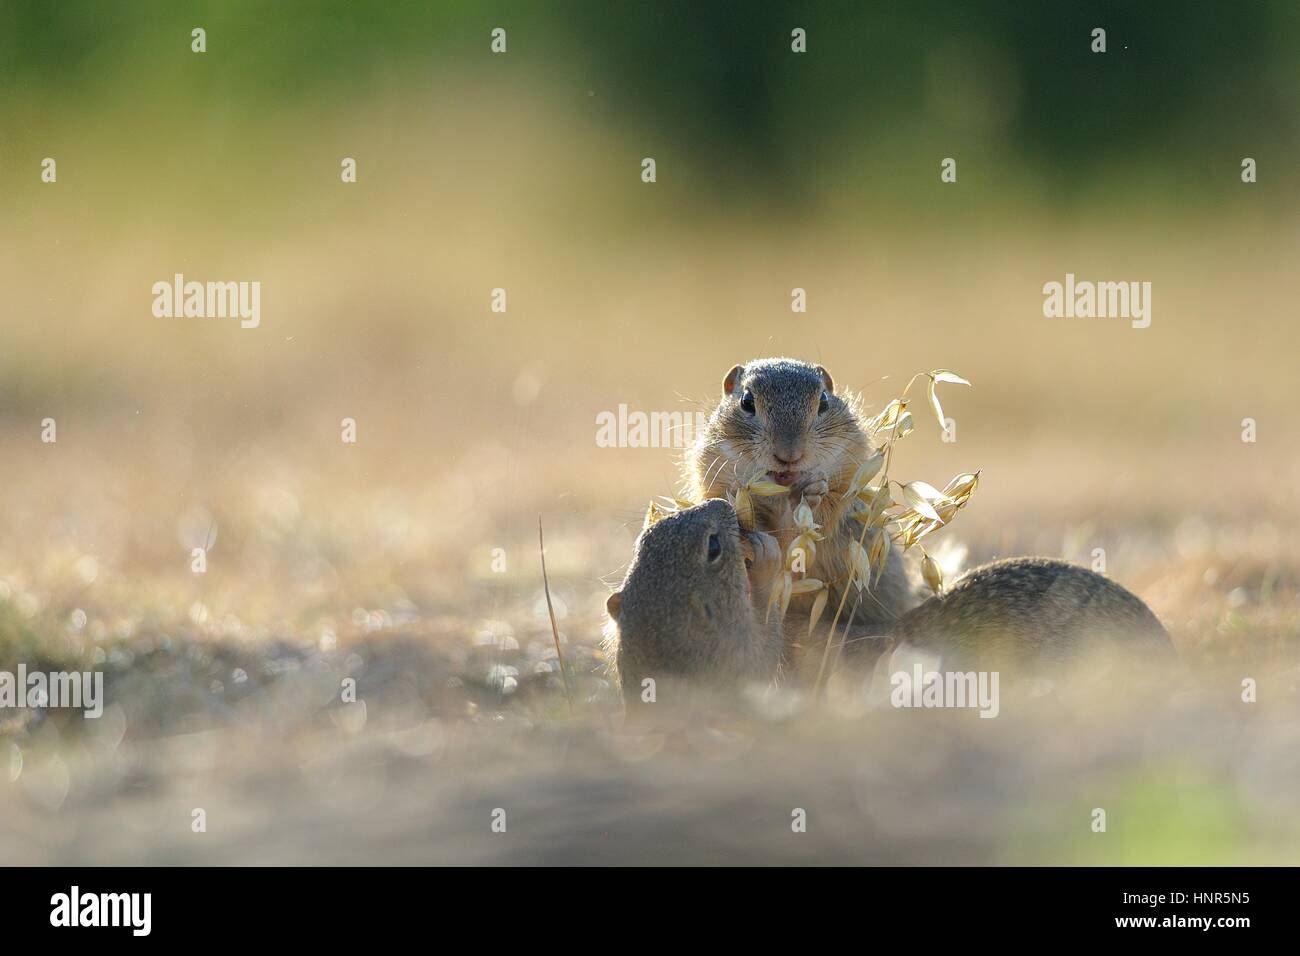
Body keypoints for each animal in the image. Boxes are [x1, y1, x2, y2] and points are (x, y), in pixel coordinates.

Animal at [683, 358, 912, 670]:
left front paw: (809, 495)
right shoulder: (716, 483)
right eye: (746, 402)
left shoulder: (846, 488)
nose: (789, 454)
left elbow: (816, 527)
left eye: (824, 401)